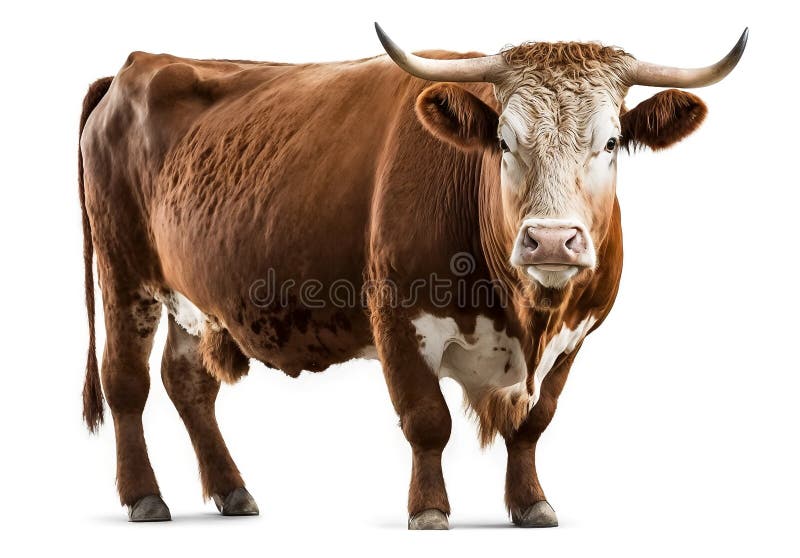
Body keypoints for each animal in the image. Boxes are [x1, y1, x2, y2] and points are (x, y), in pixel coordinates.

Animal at [78, 23, 747, 527]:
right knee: (126, 381)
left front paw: (531, 504)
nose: (553, 238)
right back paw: (144, 496)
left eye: (610, 143)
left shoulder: (575, 335)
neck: (522, 312)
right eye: (504, 140)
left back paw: (232, 491)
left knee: (187, 381)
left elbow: (532, 423)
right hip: (124, 272)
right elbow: (428, 420)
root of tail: (138, 65)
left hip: (190, 296)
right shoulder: (398, 318)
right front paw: (429, 510)